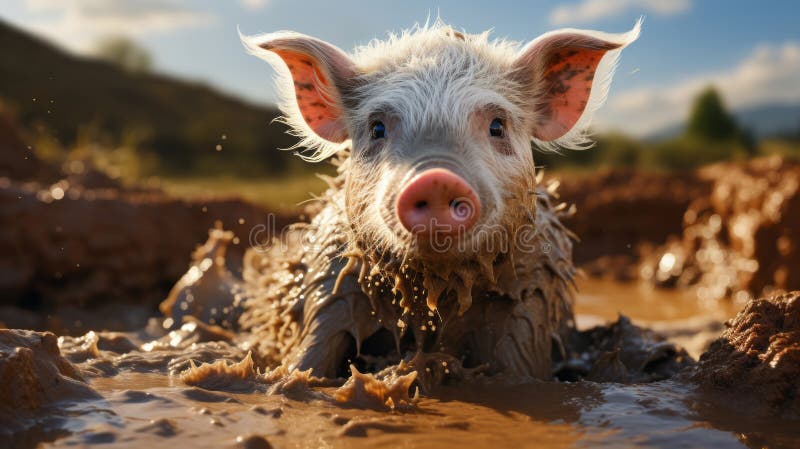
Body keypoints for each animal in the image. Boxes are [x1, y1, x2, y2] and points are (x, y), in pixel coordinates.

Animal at [239, 20, 640, 382]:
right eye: (377, 128)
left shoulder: (533, 296)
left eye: (497, 126)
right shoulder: (327, 282)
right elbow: (309, 358)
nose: (435, 179)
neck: (434, 292)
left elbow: (520, 372)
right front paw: (287, 379)